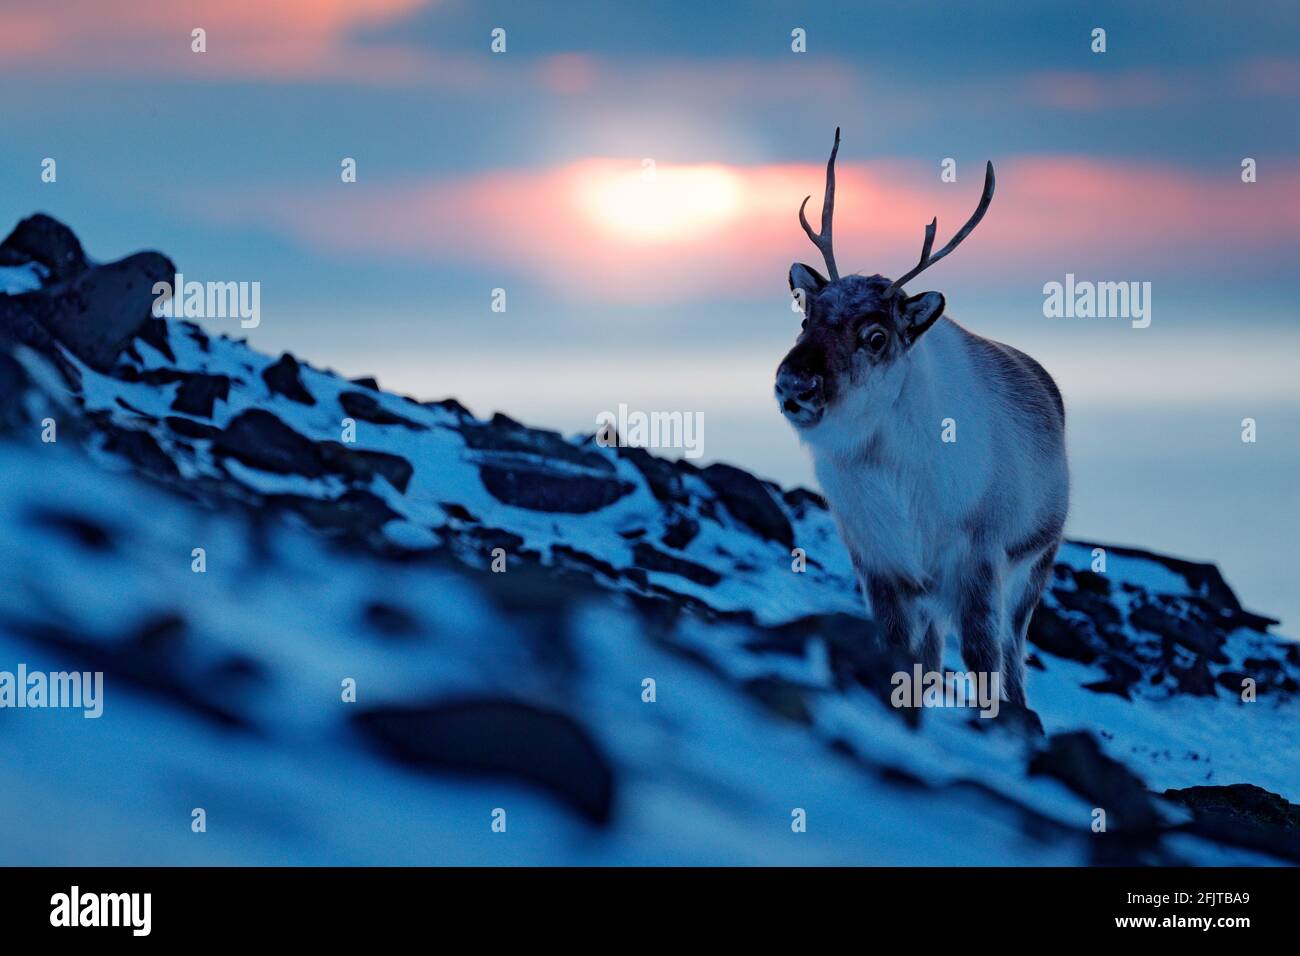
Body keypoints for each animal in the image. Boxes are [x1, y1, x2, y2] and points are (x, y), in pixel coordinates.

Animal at [775, 129, 1068, 708]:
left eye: (876, 336)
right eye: (805, 317)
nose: (795, 385)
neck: (891, 477)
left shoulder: (977, 561)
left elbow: (983, 662)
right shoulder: (879, 564)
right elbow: (898, 656)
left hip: (1032, 572)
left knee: (1012, 659)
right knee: (931, 657)